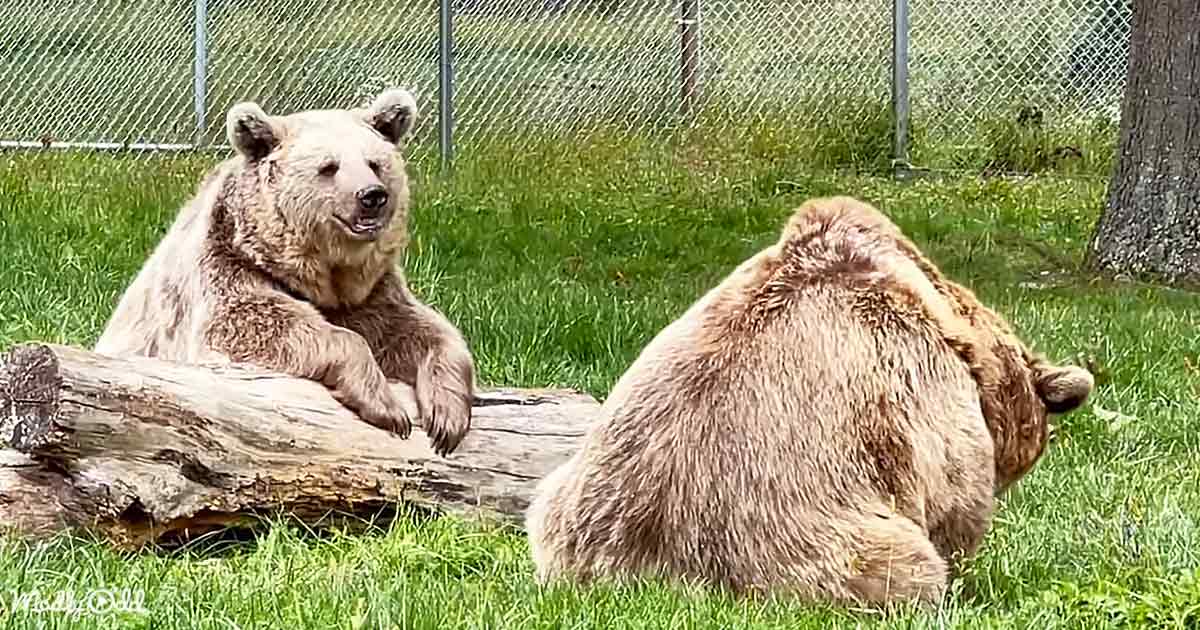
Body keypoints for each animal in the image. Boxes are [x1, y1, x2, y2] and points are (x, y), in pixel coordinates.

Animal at [93, 89, 475, 457]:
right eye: (329, 167)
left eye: (375, 164)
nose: (371, 196)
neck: (317, 274)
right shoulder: (226, 266)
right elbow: (258, 326)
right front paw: (386, 406)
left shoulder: (367, 295)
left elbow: (420, 329)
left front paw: (447, 418)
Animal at [524, 195, 1094, 605]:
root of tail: (648, 574)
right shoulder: (923, 397)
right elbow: (956, 504)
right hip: (818, 545)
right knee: (902, 567)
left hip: (566, 504)